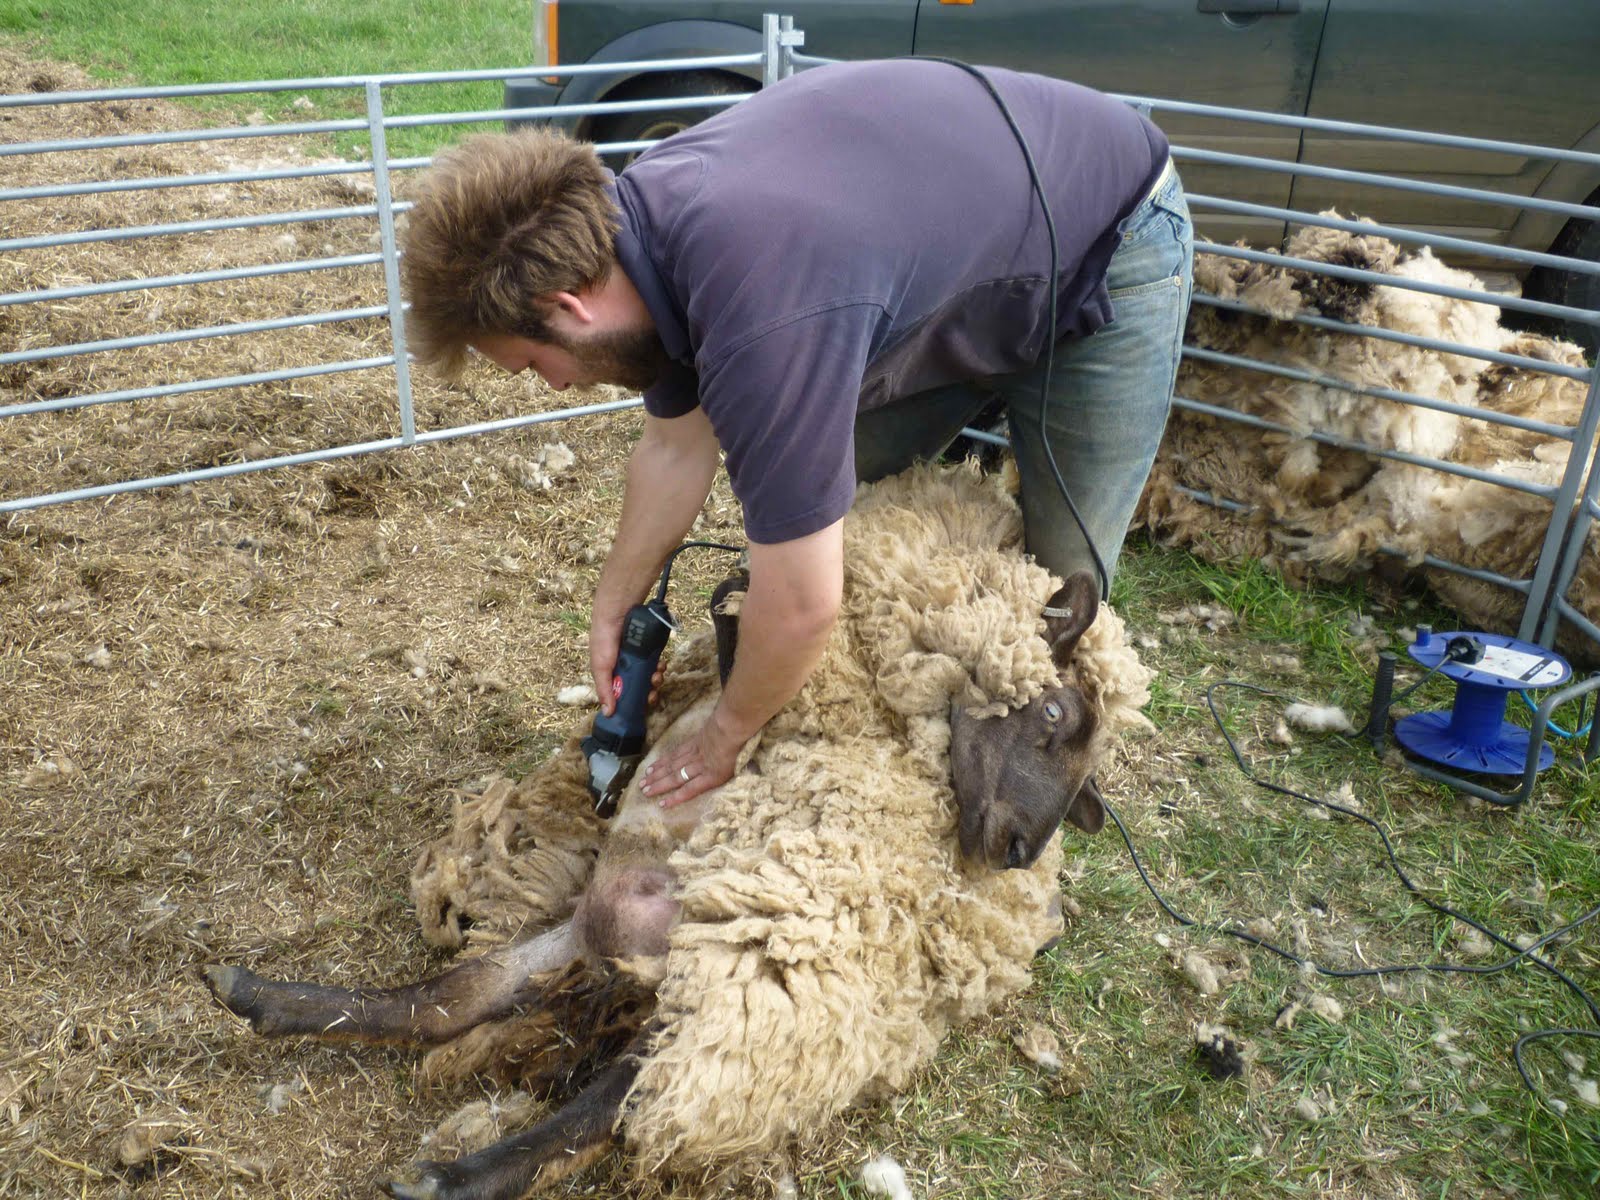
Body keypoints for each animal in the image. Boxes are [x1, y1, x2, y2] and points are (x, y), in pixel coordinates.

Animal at [202, 461, 1153, 1197]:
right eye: (1056, 711)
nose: (1019, 850)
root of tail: (625, 972)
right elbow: (731, 620)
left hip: (725, 996)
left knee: (607, 1110)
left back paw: (446, 1178)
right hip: (588, 944)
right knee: (447, 1001)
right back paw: (256, 995)